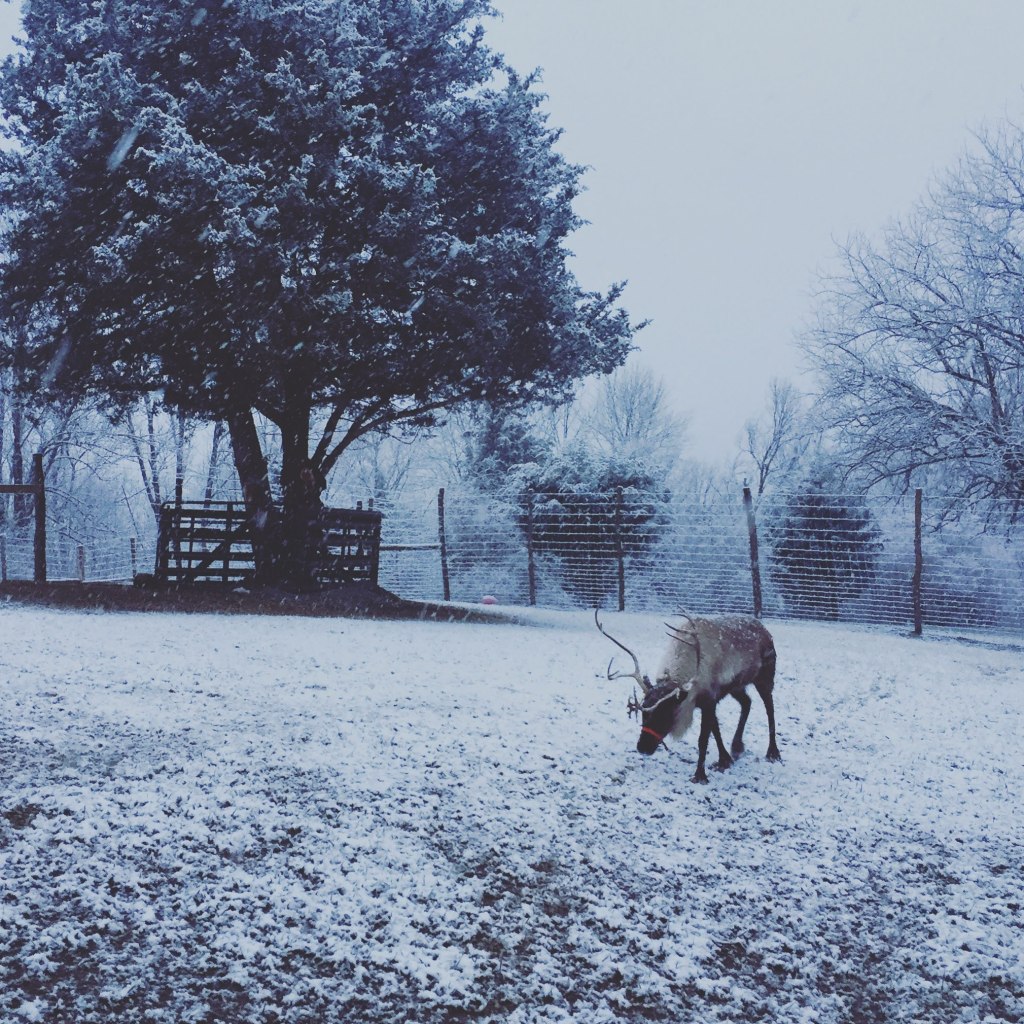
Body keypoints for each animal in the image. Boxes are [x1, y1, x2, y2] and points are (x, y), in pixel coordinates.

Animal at [595, 610, 781, 784]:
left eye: (665, 714)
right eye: (643, 713)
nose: (643, 747)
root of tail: (765, 629)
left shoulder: (708, 699)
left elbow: (703, 739)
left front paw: (700, 775)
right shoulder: (708, 700)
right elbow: (715, 730)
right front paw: (724, 759)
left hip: (765, 677)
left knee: (770, 709)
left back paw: (773, 752)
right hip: (737, 686)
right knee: (747, 702)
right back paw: (737, 747)